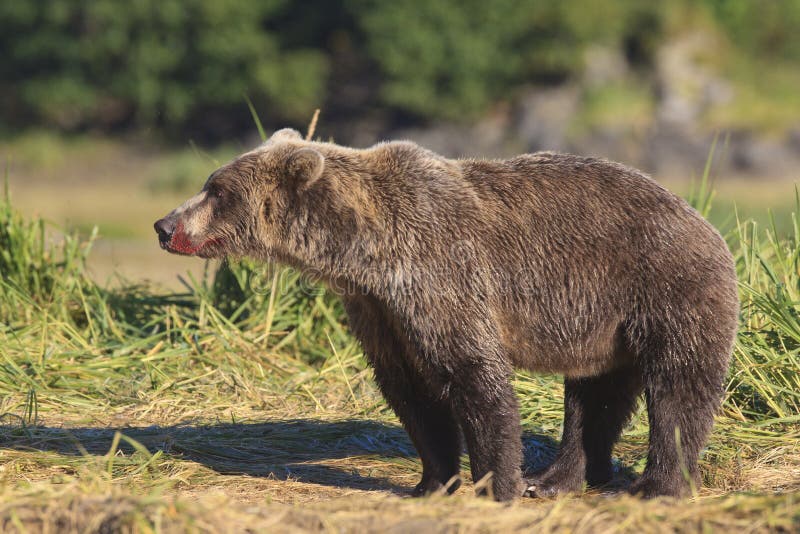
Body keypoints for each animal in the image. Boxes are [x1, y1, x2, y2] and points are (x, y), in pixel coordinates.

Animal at [154, 128, 739, 501]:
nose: (164, 224)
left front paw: (496, 483)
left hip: (664, 286)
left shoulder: (441, 273)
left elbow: (474, 375)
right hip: (604, 323)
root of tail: (706, 221)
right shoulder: (378, 309)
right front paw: (433, 481)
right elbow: (412, 394)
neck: (364, 252)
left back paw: (654, 486)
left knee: (678, 388)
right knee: (596, 396)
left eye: (216, 189)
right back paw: (554, 479)